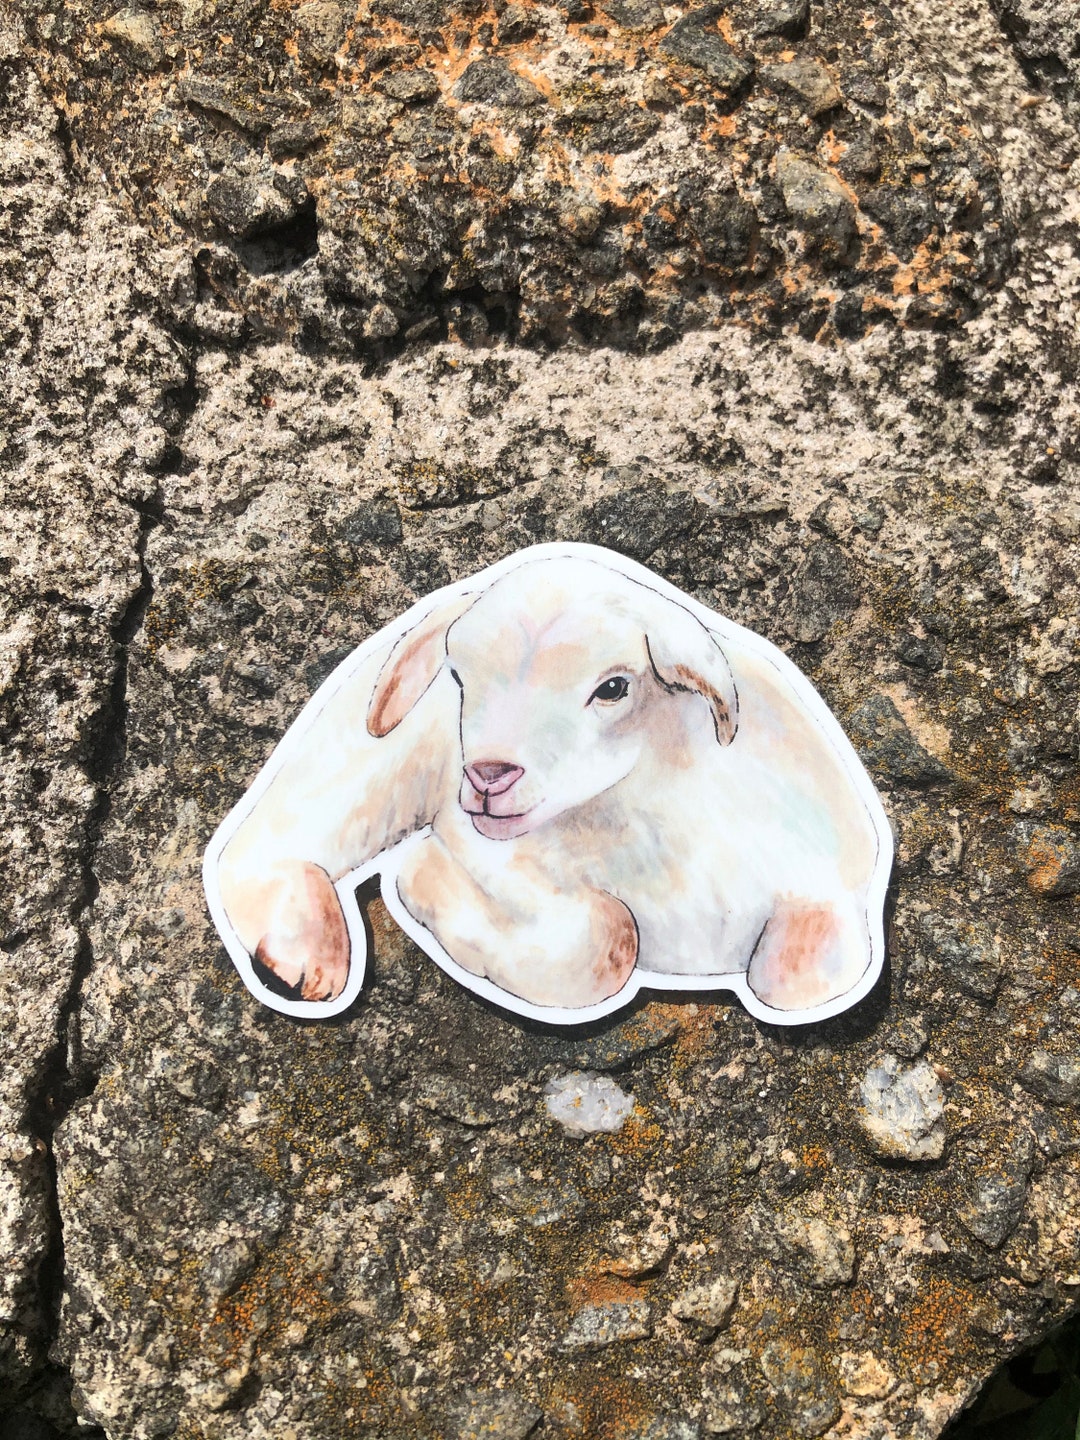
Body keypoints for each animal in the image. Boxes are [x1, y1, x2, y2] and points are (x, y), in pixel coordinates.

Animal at [204, 543, 892, 1025]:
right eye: (459, 676)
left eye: (613, 687)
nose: (488, 775)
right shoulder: (486, 849)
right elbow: (608, 939)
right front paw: (422, 879)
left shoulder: (831, 890)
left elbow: (802, 977)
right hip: (374, 760)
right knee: (273, 839)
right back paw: (302, 957)